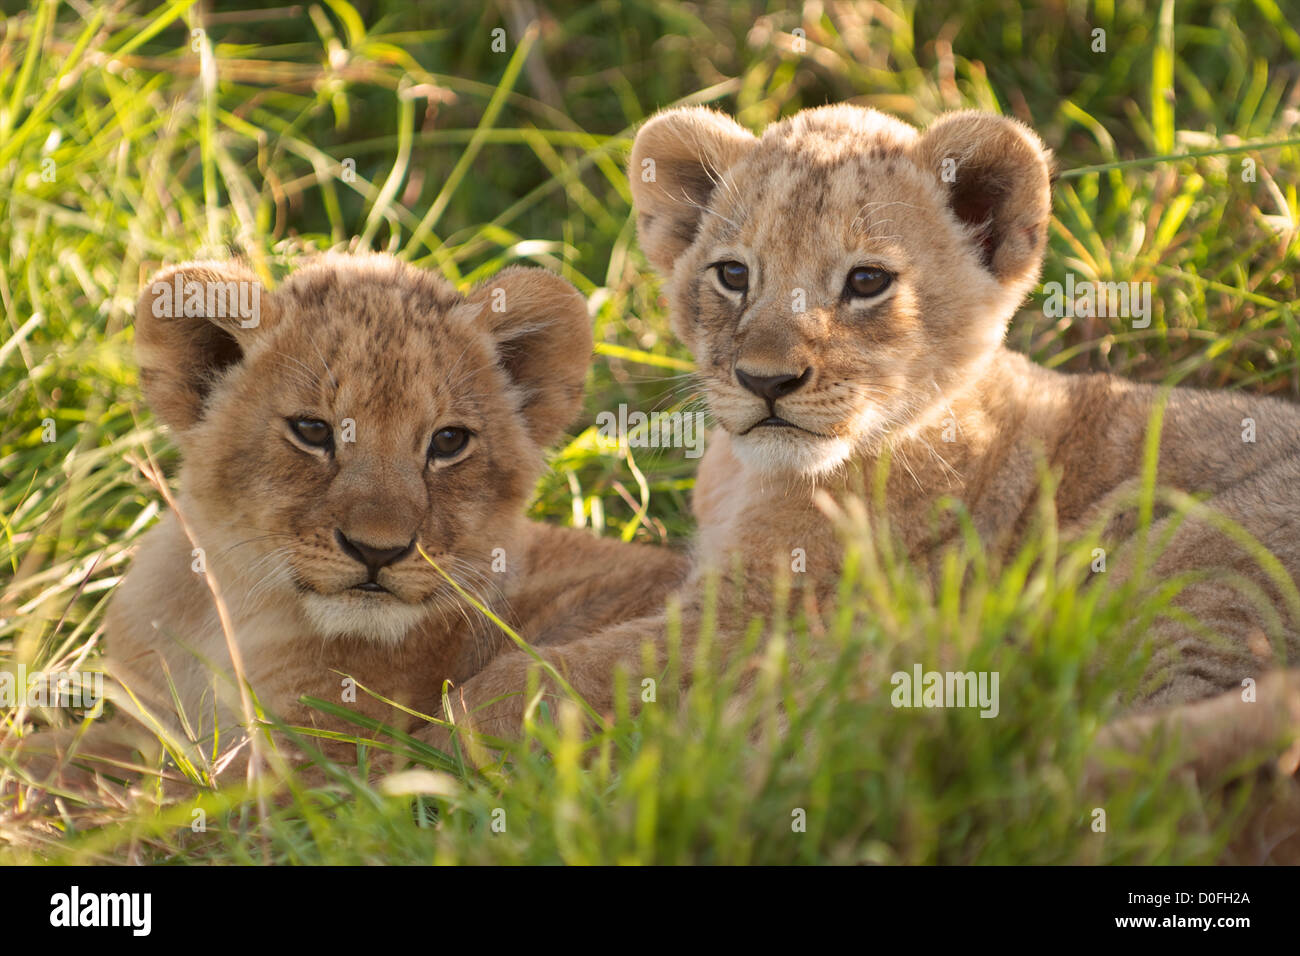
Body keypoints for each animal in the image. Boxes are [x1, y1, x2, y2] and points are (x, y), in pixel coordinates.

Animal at [9, 252, 686, 788]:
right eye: (312, 430)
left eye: (448, 441)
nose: (378, 551)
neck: (229, 611)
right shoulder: (145, 727)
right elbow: (50, 756)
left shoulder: (320, 772)